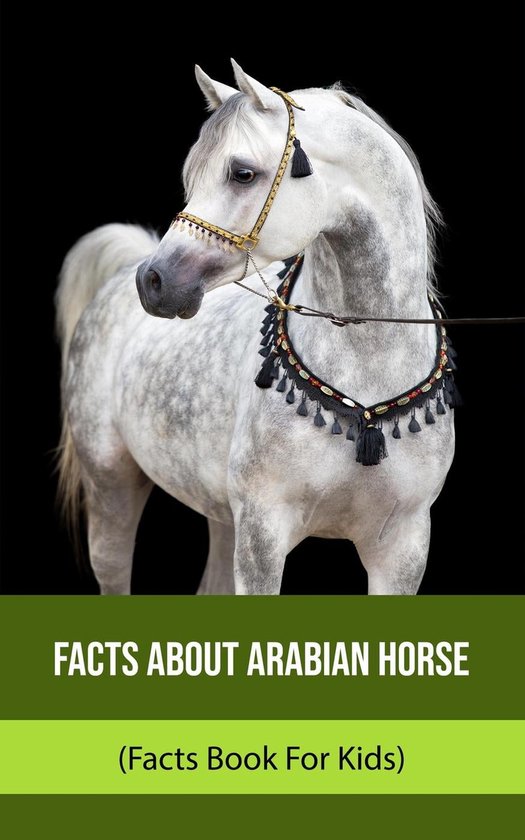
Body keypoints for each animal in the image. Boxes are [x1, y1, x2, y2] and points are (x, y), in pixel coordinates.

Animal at [56, 59, 455, 595]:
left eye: (242, 173)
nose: (154, 282)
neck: (367, 372)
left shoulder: (403, 549)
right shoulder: (262, 536)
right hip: (111, 487)